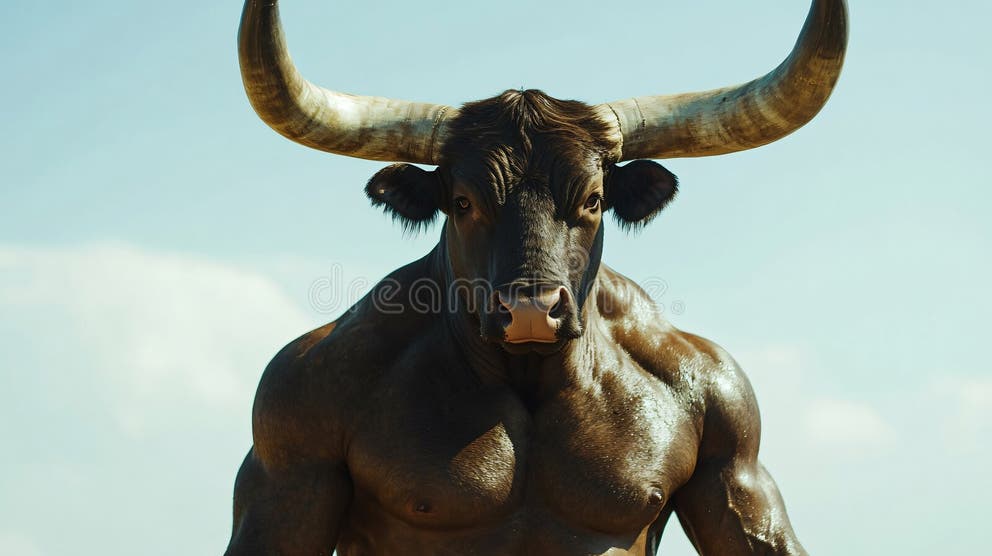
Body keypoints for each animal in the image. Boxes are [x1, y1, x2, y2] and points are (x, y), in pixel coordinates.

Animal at [225, 1, 847, 554]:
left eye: (593, 200)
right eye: (463, 201)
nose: (531, 309)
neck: (527, 374)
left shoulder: (729, 421)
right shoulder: (290, 412)